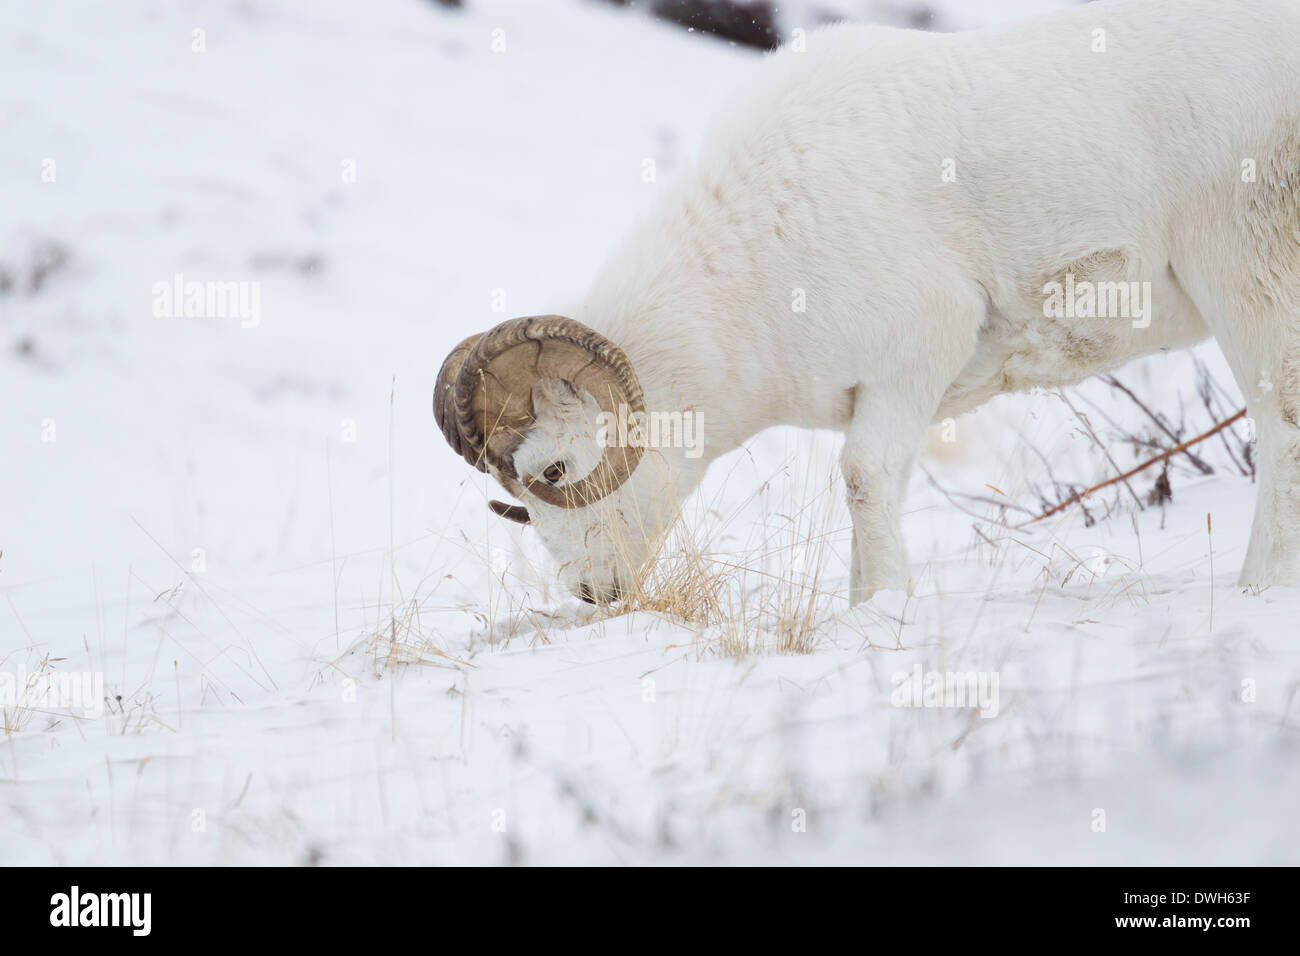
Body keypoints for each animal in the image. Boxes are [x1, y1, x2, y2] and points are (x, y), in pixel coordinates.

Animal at [434, 0, 1300, 605]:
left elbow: (863, 480)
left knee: (1279, 422)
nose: (592, 593)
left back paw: (1261, 586)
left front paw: (885, 603)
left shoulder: (912, 366)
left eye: (553, 467)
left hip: (1245, 279)